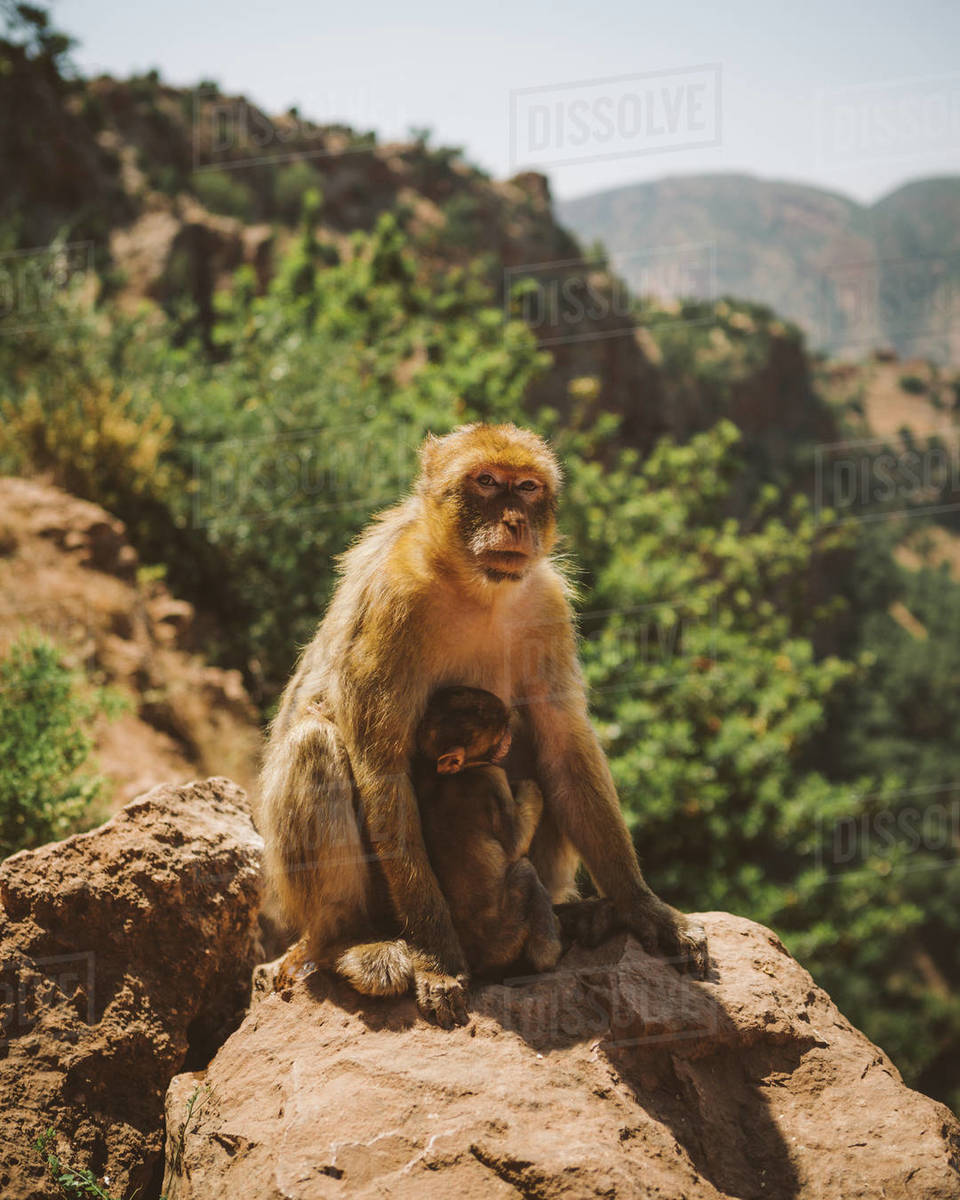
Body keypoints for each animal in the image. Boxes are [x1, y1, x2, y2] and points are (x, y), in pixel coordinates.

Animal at [412, 686, 562, 975]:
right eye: (500, 732)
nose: (509, 735)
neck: (452, 774)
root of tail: (478, 960)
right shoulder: (493, 777)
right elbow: (515, 844)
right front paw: (530, 787)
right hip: (506, 935)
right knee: (525, 872)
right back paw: (547, 957)